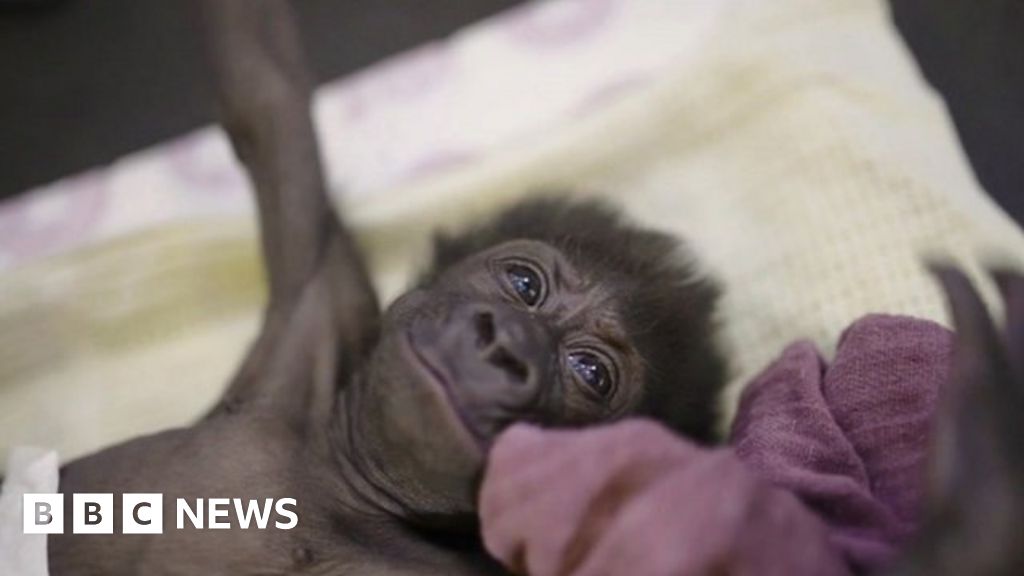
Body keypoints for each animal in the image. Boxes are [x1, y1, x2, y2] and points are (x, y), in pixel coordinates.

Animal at [45, 2, 726, 574]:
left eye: (591, 374)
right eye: (524, 284)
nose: (504, 344)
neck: (347, 490)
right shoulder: (315, 306)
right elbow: (263, 96)